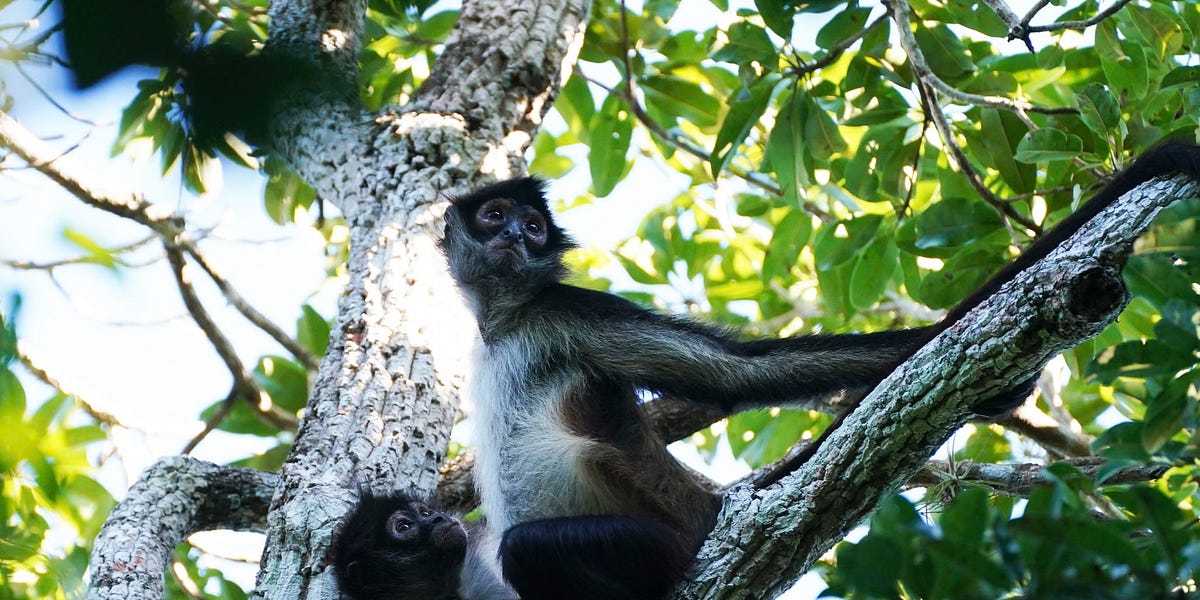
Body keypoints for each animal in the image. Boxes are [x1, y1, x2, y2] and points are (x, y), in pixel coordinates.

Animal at [439, 142, 1200, 600]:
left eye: (533, 229)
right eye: (497, 216)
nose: (515, 238)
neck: (508, 321)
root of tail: (706, 510)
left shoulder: (569, 313)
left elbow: (735, 375)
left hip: (662, 544)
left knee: (528, 550)